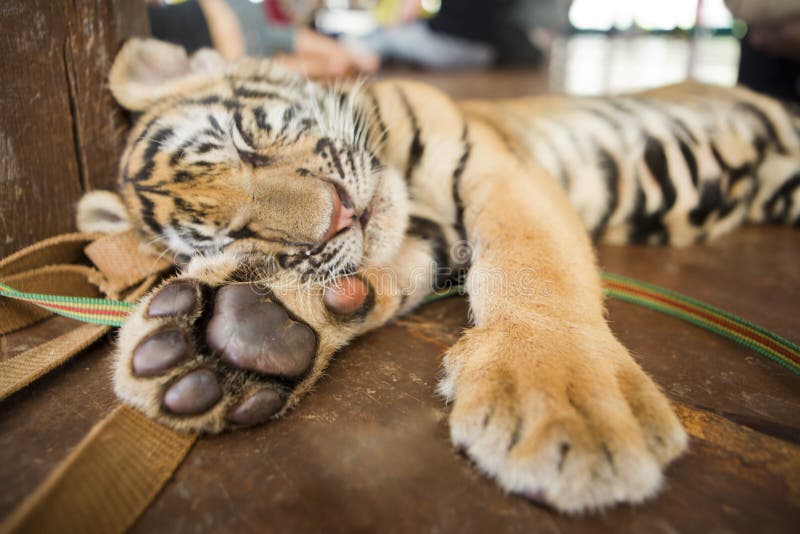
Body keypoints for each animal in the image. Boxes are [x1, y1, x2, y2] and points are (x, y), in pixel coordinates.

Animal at [77, 38, 800, 514]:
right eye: (236, 236)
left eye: (245, 139)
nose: (338, 217)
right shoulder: (429, 238)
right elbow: (377, 273)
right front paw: (236, 331)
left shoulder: (500, 169)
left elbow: (532, 265)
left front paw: (565, 408)